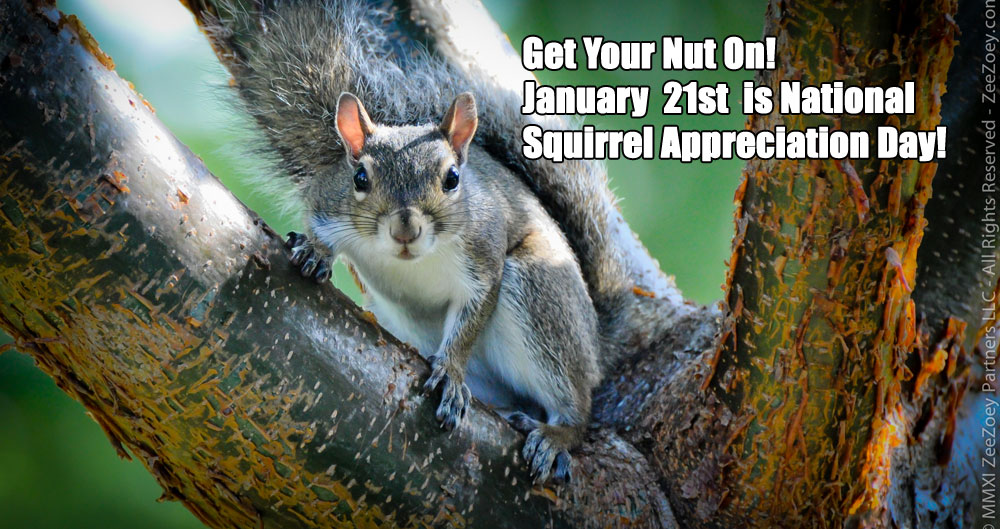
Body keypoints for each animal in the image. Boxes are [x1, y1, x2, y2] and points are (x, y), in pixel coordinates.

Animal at [208, 0, 649, 484]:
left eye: (452, 178)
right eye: (359, 178)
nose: (405, 230)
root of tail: (596, 345)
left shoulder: (484, 257)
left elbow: (472, 317)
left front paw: (452, 374)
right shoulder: (326, 201)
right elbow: (320, 226)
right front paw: (315, 252)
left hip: (541, 297)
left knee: (575, 404)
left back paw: (558, 434)